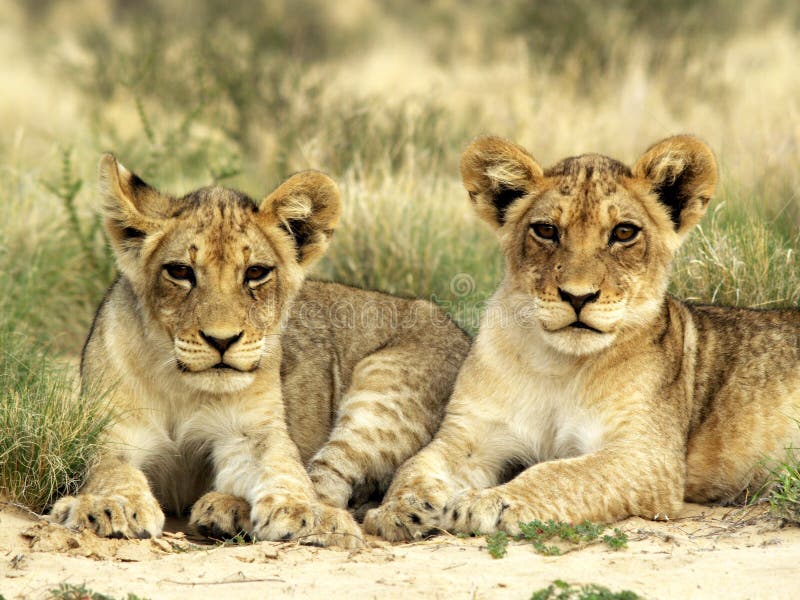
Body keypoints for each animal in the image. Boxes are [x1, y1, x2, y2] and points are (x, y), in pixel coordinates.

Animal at [50, 155, 470, 548]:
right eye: (181, 271)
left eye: (255, 272)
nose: (222, 341)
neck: (181, 384)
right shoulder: (112, 432)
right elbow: (112, 469)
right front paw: (112, 506)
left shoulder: (250, 432)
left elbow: (283, 467)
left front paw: (301, 512)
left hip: (381, 394)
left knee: (329, 481)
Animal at [364, 135, 800, 540]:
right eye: (546, 230)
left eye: (623, 232)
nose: (577, 296)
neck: (558, 365)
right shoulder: (471, 435)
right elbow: (415, 466)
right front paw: (397, 510)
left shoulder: (647, 456)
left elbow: (559, 473)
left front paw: (486, 504)